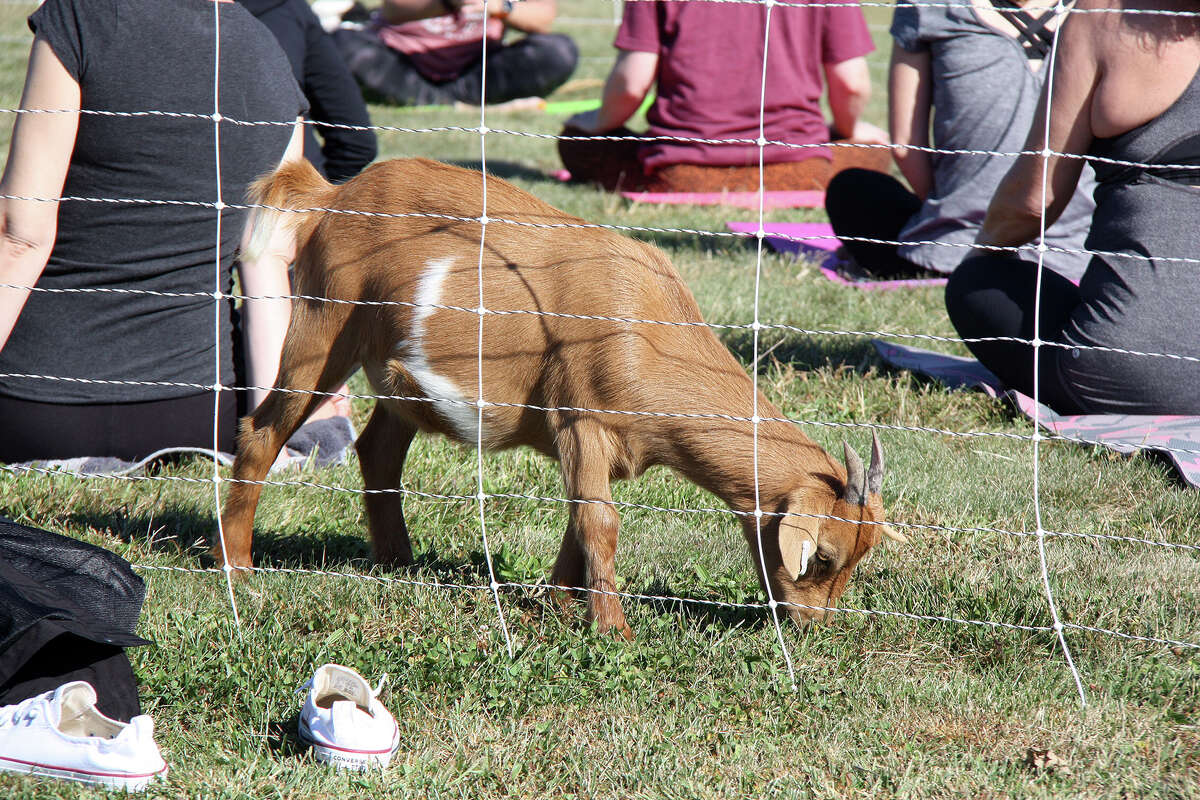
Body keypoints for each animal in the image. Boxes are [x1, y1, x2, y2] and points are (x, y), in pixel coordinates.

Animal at [216, 157, 908, 638]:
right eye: (823, 557)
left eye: (859, 559)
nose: (811, 626)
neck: (648, 326)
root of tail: (332, 195)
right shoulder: (581, 420)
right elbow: (599, 522)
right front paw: (613, 630)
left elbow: (578, 522)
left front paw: (554, 604)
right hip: (321, 325)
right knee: (263, 432)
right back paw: (239, 569)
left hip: (395, 374)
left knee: (379, 450)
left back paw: (397, 564)